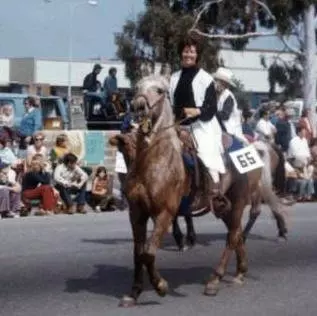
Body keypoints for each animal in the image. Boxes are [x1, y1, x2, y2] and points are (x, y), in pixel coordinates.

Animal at [116, 75, 286, 308]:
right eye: (137, 87)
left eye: (159, 90)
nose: (138, 106)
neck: (155, 161)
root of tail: (253, 146)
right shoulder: (137, 213)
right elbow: (138, 253)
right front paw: (134, 293)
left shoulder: (165, 213)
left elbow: (149, 253)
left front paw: (160, 286)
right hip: (225, 208)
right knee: (237, 234)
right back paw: (240, 272)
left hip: (238, 202)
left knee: (233, 236)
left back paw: (215, 279)